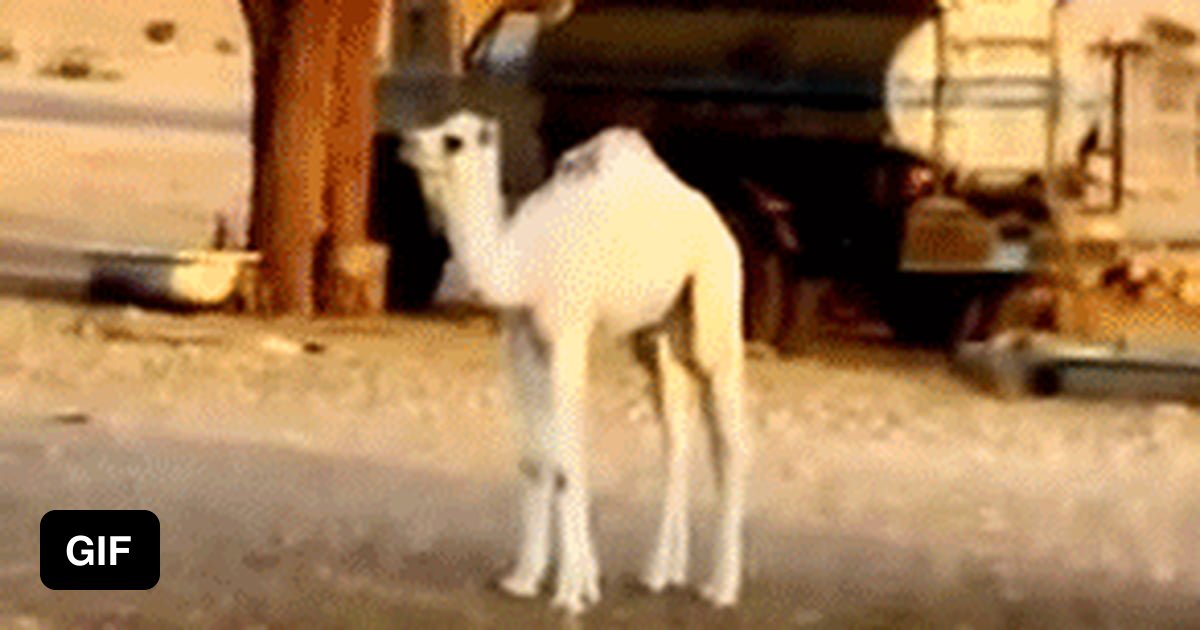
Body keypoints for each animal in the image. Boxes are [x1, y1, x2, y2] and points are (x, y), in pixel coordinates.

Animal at [400, 111, 749, 614]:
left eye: (453, 140)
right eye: (436, 126)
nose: (405, 142)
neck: (522, 267)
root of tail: (716, 220)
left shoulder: (569, 336)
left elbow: (569, 458)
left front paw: (573, 591)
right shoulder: (521, 342)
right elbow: (537, 458)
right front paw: (525, 578)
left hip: (714, 307)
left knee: (730, 442)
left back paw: (721, 587)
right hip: (656, 335)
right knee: (676, 438)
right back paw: (660, 573)